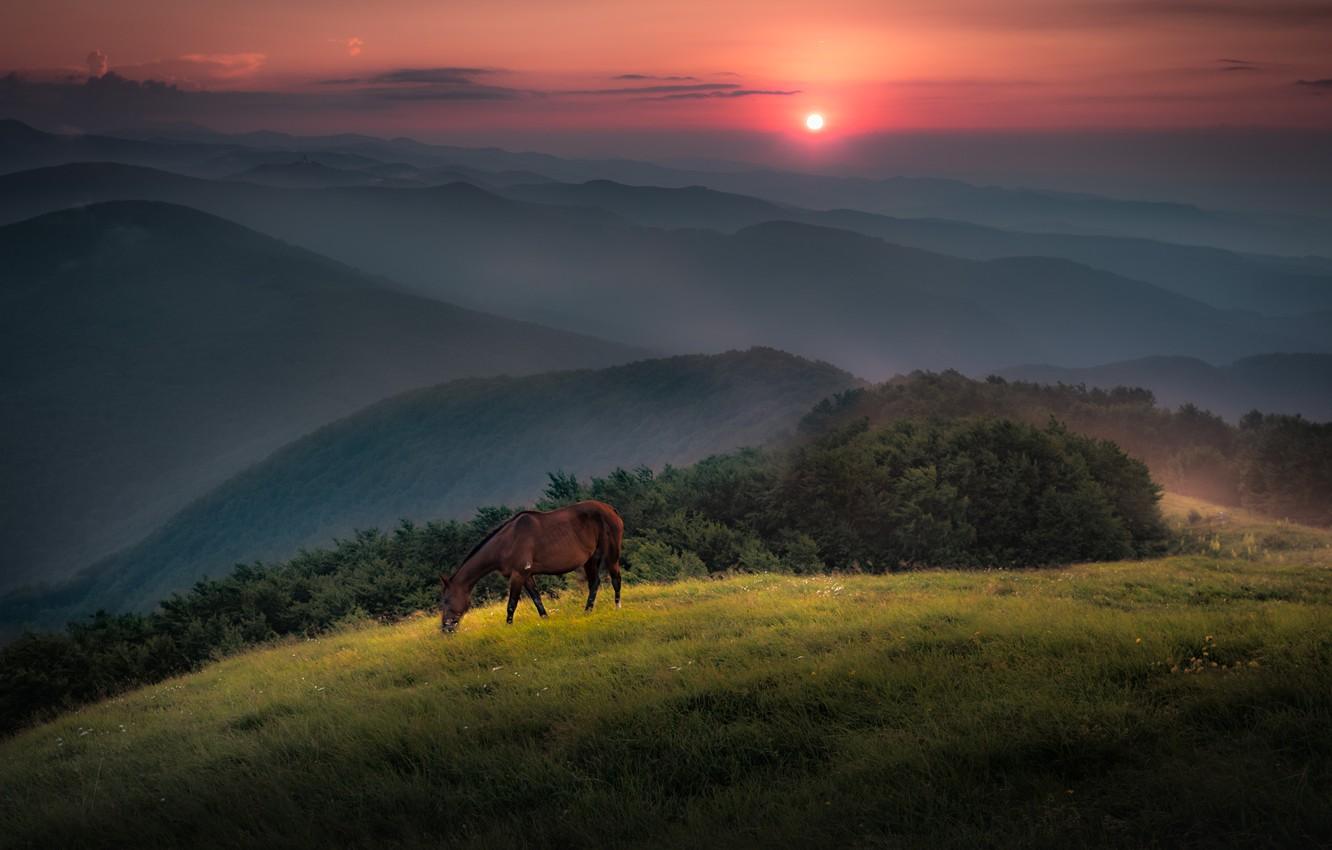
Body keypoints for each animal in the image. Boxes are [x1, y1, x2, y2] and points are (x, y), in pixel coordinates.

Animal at [440, 500, 624, 632]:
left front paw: (508, 628)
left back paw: (617, 608)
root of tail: (610, 509)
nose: (445, 628)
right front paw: (545, 620)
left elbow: (512, 604)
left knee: (615, 578)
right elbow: (537, 599)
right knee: (594, 583)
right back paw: (587, 611)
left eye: (446, 600)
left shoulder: (518, 575)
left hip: (611, 553)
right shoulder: (527, 576)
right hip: (590, 559)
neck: (507, 542)